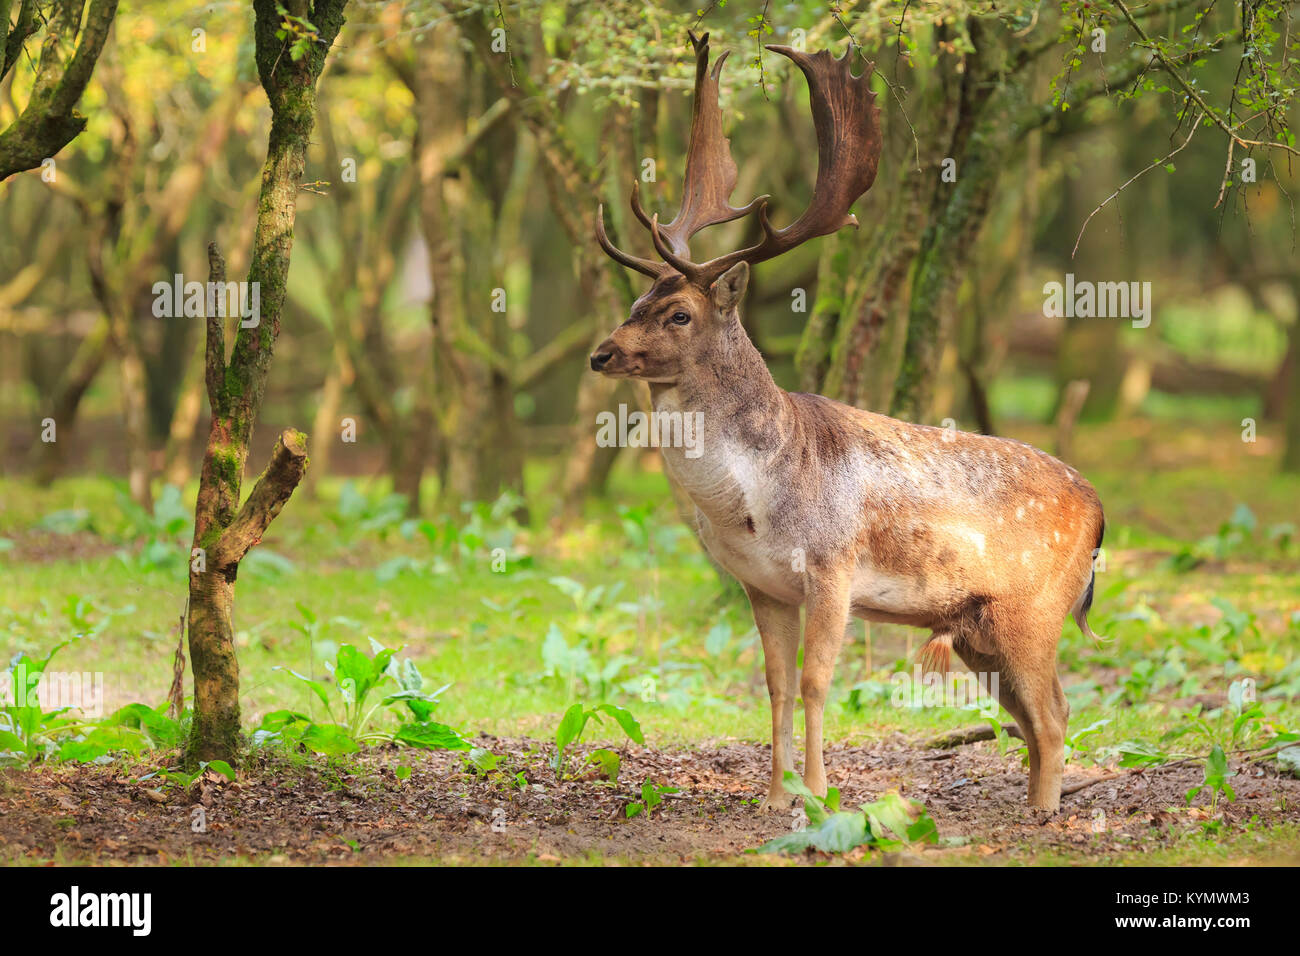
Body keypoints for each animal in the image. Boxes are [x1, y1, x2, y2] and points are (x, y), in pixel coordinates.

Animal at [588, 33, 1105, 813]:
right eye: (636, 301)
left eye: (678, 313)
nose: (601, 353)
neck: (752, 503)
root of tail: (1101, 508)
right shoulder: (762, 585)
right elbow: (773, 685)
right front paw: (774, 799)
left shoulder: (834, 569)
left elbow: (814, 682)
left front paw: (820, 797)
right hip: (980, 629)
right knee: (1041, 713)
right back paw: (1033, 806)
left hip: (1035, 607)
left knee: (1053, 710)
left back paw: (1044, 817)